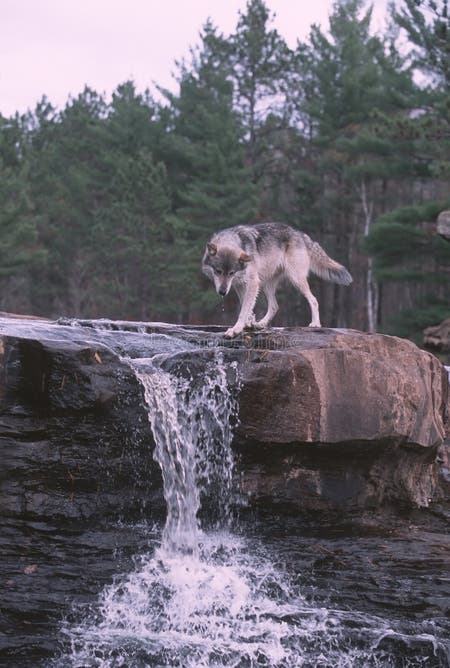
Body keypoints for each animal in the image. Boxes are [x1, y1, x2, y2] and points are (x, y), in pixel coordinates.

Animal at [202, 222, 352, 338]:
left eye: (231, 273)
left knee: (313, 300)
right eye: (218, 271)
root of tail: (300, 234)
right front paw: (249, 323)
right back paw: (261, 324)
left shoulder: (252, 283)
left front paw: (236, 329)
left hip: (295, 279)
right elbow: (248, 307)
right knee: (275, 305)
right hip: (266, 284)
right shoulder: (240, 285)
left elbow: (243, 310)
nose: (222, 292)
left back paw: (315, 324)